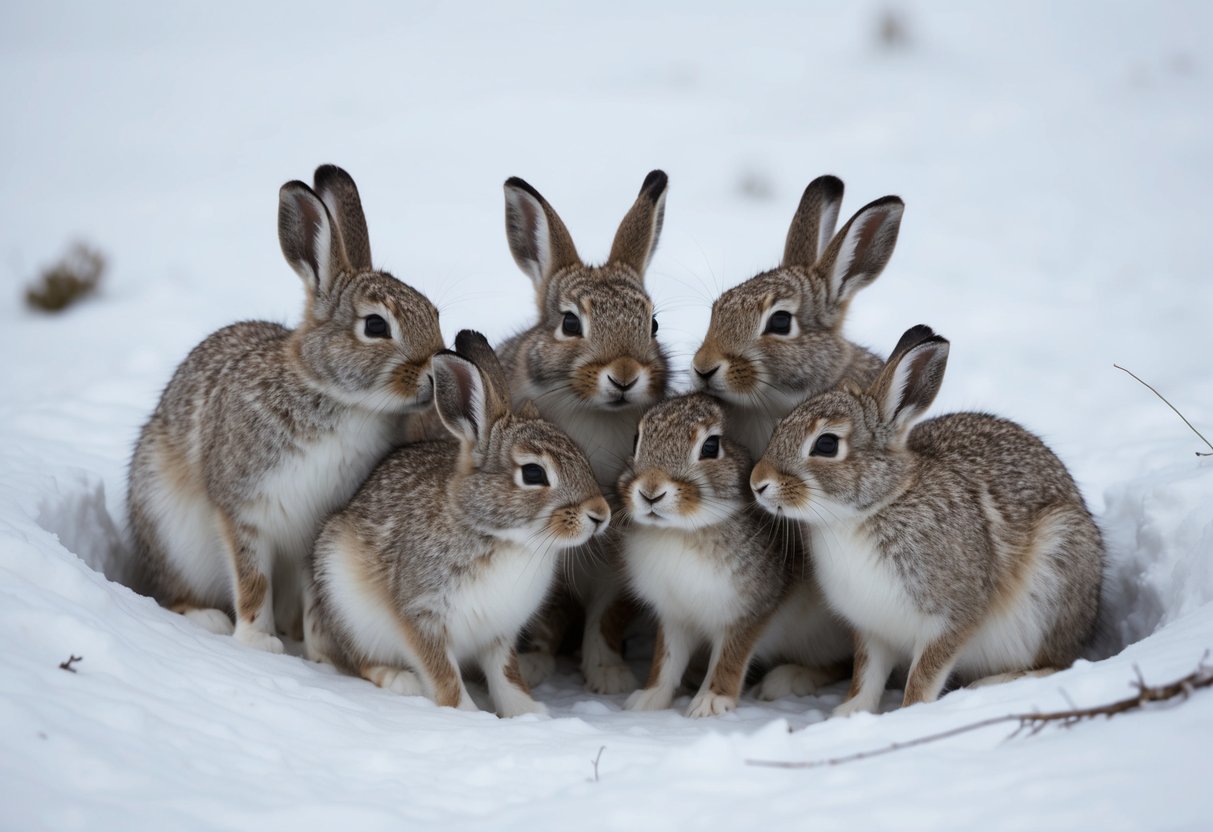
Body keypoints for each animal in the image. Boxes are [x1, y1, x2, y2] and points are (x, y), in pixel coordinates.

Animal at [128, 165, 445, 653]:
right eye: (376, 326)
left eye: (434, 312)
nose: (435, 375)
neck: (341, 399)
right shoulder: (243, 511)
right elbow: (252, 579)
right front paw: (258, 642)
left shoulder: (313, 530)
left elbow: (317, 597)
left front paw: (319, 653)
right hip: (169, 533)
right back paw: (208, 620)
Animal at [304, 330, 611, 717]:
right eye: (533, 474)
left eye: (580, 455)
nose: (600, 514)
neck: (500, 537)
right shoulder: (421, 616)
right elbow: (443, 674)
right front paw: (466, 713)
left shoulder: (499, 633)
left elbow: (506, 675)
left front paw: (528, 712)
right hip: (347, 607)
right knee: (361, 661)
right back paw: (401, 681)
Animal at [496, 171, 670, 694]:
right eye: (570, 322)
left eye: (653, 323)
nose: (625, 374)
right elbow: (551, 609)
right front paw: (535, 665)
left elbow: (608, 615)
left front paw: (610, 675)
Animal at [617, 393, 794, 717]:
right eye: (636, 440)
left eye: (711, 446)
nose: (650, 492)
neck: (683, 531)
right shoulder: (674, 616)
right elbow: (666, 659)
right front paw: (647, 700)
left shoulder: (750, 611)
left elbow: (730, 657)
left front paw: (710, 703)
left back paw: (783, 681)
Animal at [750, 325, 1105, 715]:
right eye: (779, 427)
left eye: (826, 445)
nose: (757, 483)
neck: (871, 510)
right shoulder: (872, 627)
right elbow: (867, 673)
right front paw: (850, 712)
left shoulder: (951, 618)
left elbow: (926, 674)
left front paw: (911, 713)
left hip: (1055, 580)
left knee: (1056, 663)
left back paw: (990, 686)